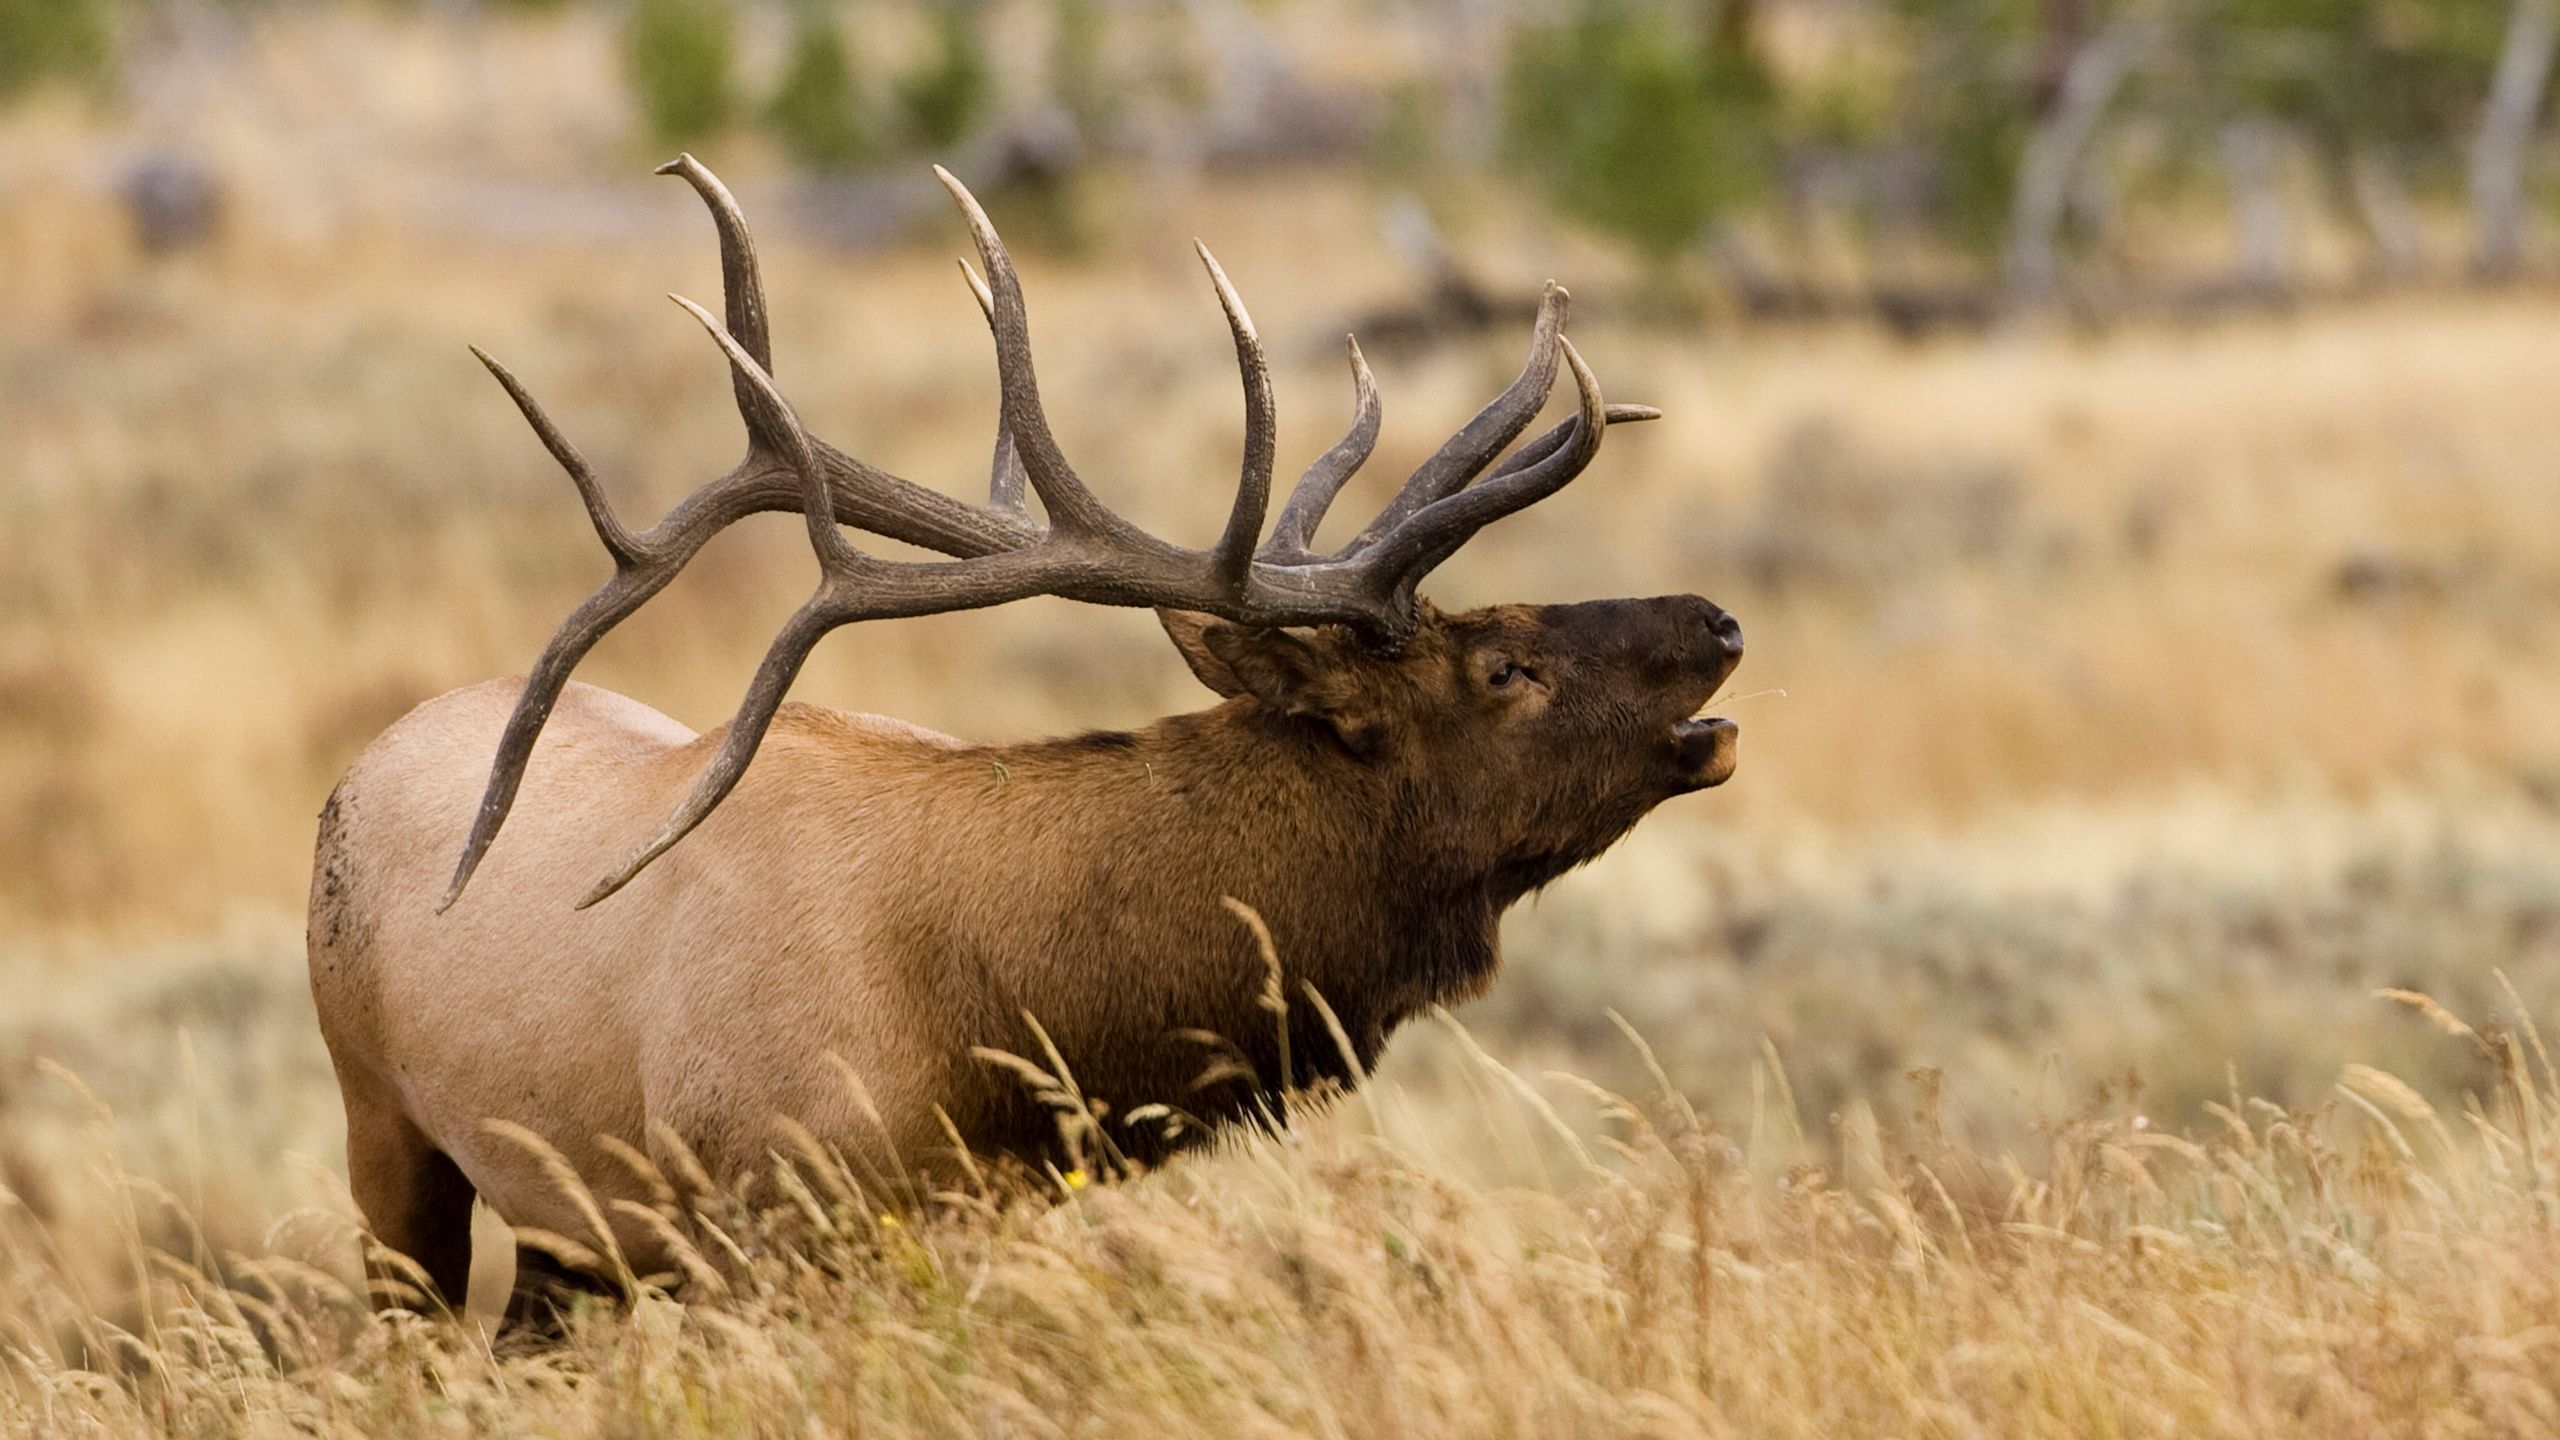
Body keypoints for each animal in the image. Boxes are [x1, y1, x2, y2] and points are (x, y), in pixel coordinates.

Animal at [306, 158, 1743, 1327]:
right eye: (1505, 667)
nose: (1718, 621)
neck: (1000, 1019)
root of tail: (363, 763)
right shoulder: (768, 1220)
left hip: (564, 1235)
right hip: (383, 1129)